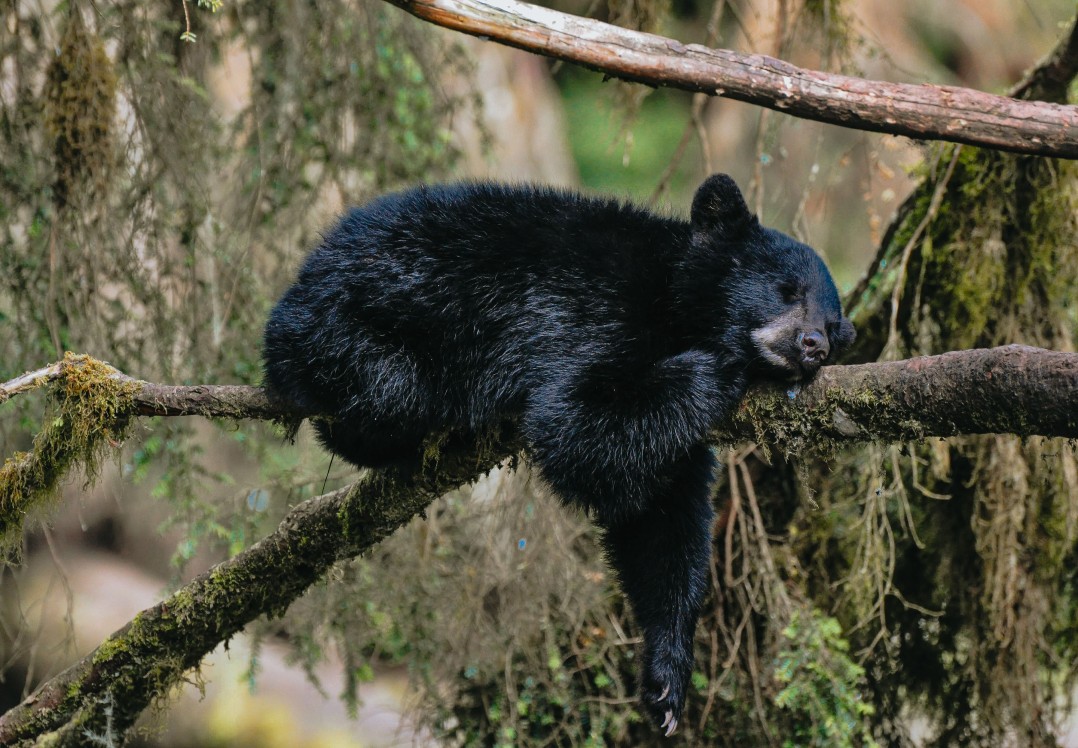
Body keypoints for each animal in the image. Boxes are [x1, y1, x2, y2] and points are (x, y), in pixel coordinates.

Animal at [262, 174, 855, 736]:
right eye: (785, 290)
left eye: (834, 323)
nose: (814, 345)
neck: (671, 301)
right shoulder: (591, 313)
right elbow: (572, 423)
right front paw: (718, 366)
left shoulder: (681, 446)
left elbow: (661, 520)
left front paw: (666, 681)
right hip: (361, 329)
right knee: (385, 392)